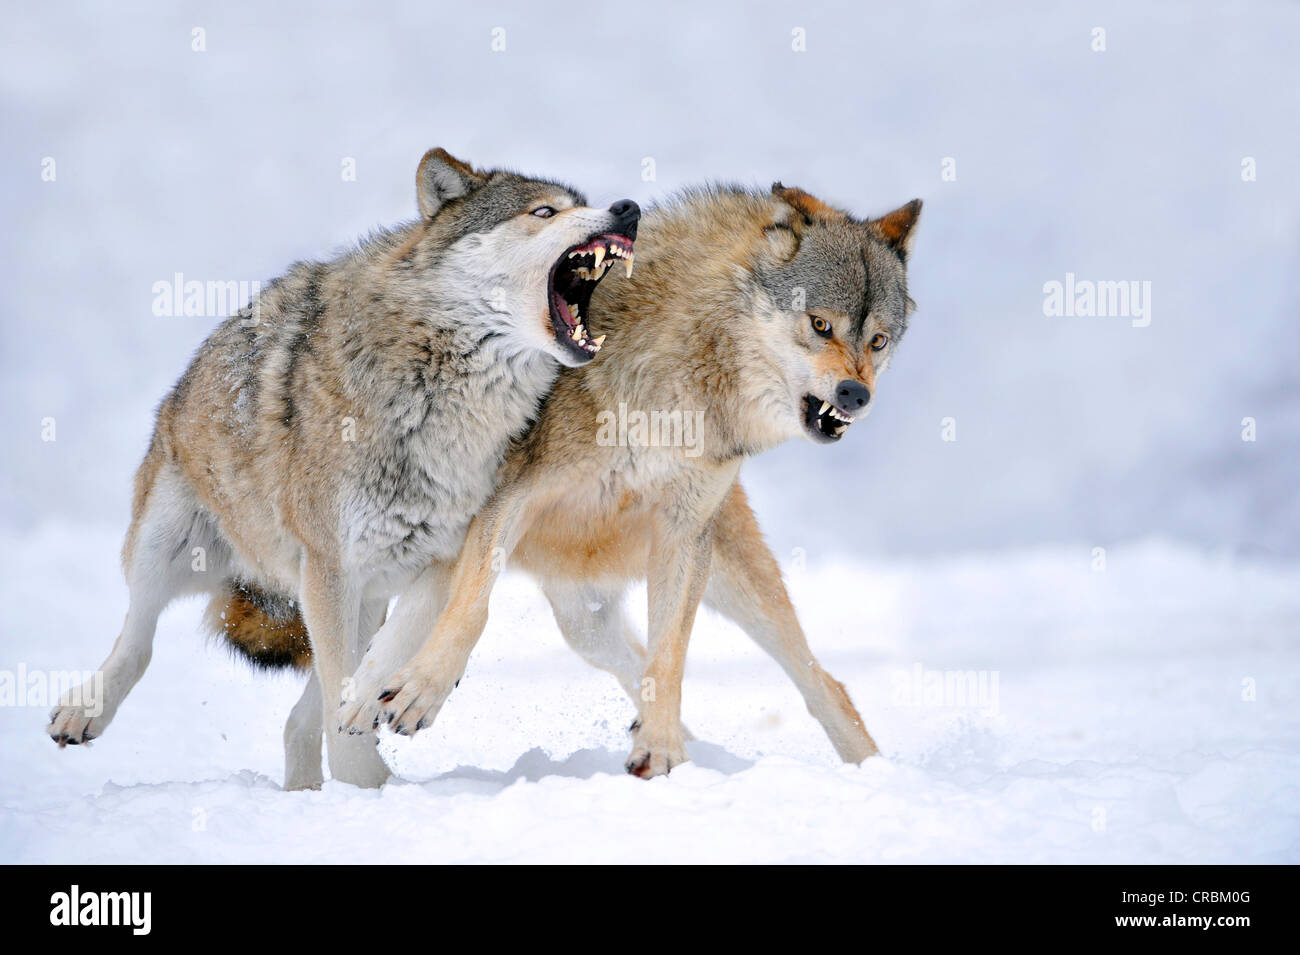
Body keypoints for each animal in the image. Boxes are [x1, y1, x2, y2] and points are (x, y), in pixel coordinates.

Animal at [45, 148, 640, 789]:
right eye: (545, 212)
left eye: (583, 204)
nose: (628, 210)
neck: (440, 395)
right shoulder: (330, 564)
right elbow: (339, 701)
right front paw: (367, 787)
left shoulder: (446, 555)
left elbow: (388, 654)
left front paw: (379, 719)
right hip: (173, 546)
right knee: (139, 635)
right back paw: (83, 711)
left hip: (355, 597)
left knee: (298, 716)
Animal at [331, 182, 922, 777]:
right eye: (820, 324)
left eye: (878, 341)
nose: (855, 395)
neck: (682, 381)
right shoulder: (510, 496)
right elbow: (472, 606)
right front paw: (421, 690)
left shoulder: (683, 535)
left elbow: (669, 658)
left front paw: (659, 749)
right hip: (587, 619)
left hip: (711, 586)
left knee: (822, 682)